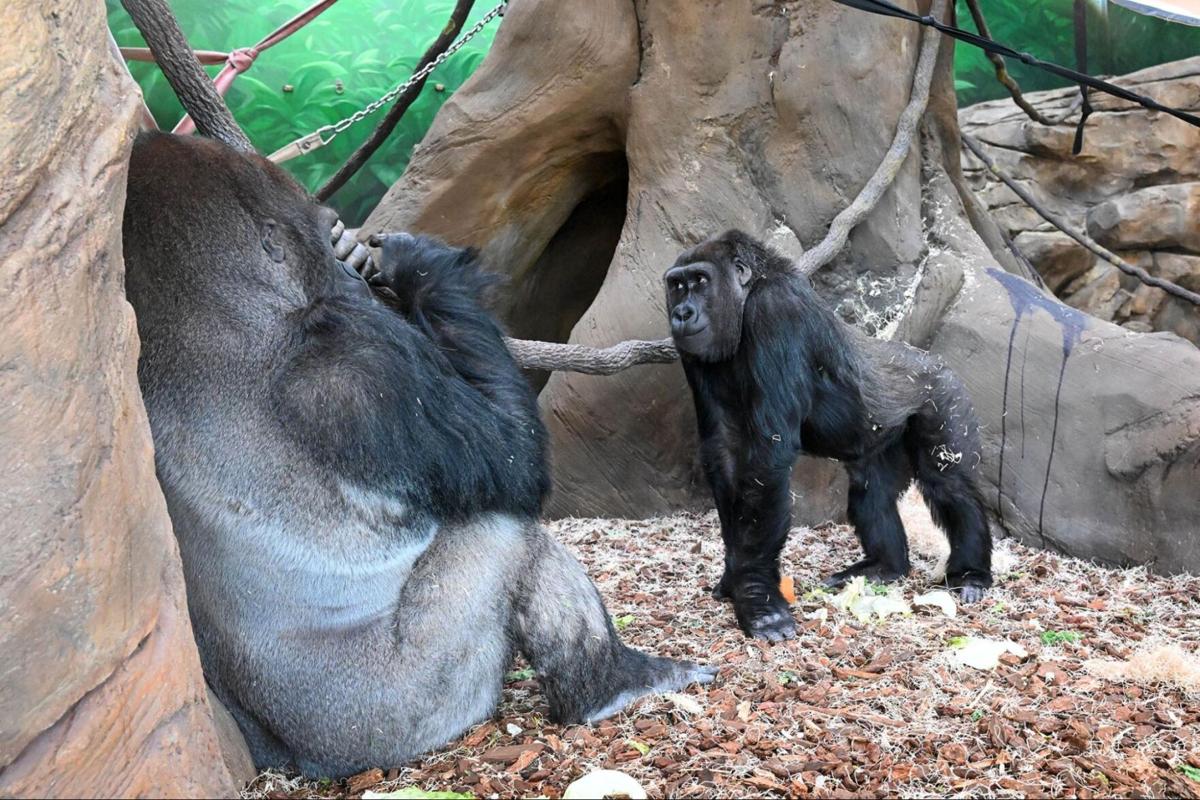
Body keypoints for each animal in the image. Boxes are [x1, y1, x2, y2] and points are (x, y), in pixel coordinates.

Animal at [122, 131, 714, 778]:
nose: (349, 268)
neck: (211, 310)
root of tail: (304, 762)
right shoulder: (358, 354)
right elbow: (519, 460)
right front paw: (425, 268)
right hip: (400, 717)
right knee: (509, 532)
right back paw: (609, 687)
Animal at [664, 230, 992, 642]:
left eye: (700, 281)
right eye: (677, 286)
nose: (681, 313)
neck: (748, 292)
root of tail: (932, 359)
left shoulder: (776, 310)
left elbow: (767, 459)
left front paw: (756, 597)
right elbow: (724, 452)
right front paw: (734, 576)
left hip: (945, 394)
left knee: (951, 487)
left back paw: (971, 574)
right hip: (882, 435)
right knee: (871, 492)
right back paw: (884, 567)